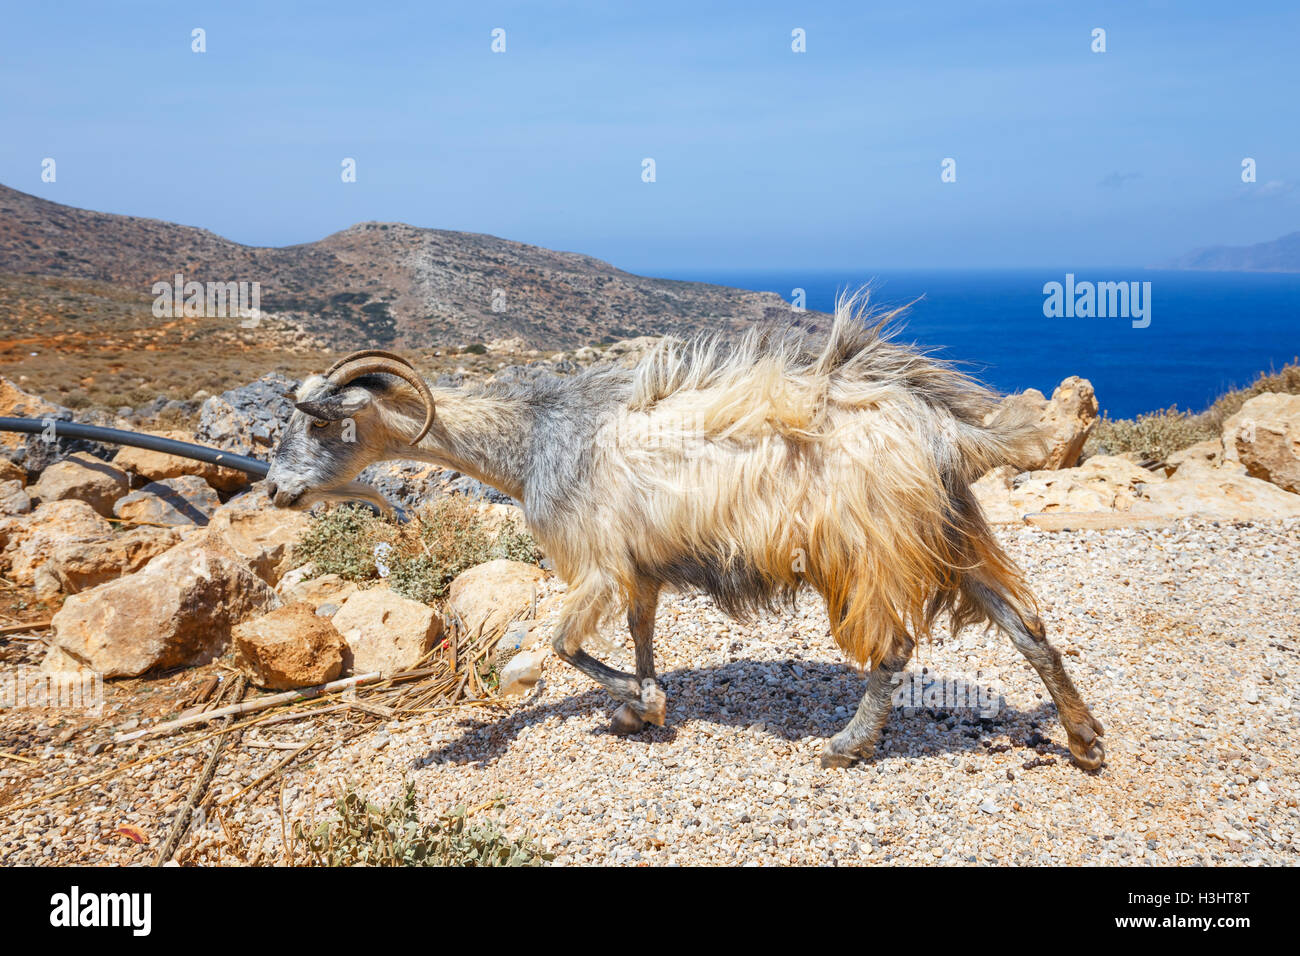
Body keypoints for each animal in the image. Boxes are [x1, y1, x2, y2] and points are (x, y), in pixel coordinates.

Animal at [264, 297, 1105, 770]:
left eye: (321, 421)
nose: (274, 489)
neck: (534, 441)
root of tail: (945, 430)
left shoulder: (599, 561)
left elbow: (559, 648)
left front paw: (646, 705)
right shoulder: (641, 568)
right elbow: (640, 634)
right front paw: (642, 701)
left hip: (869, 542)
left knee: (893, 646)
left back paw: (847, 746)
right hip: (947, 530)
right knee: (1026, 622)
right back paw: (1085, 740)